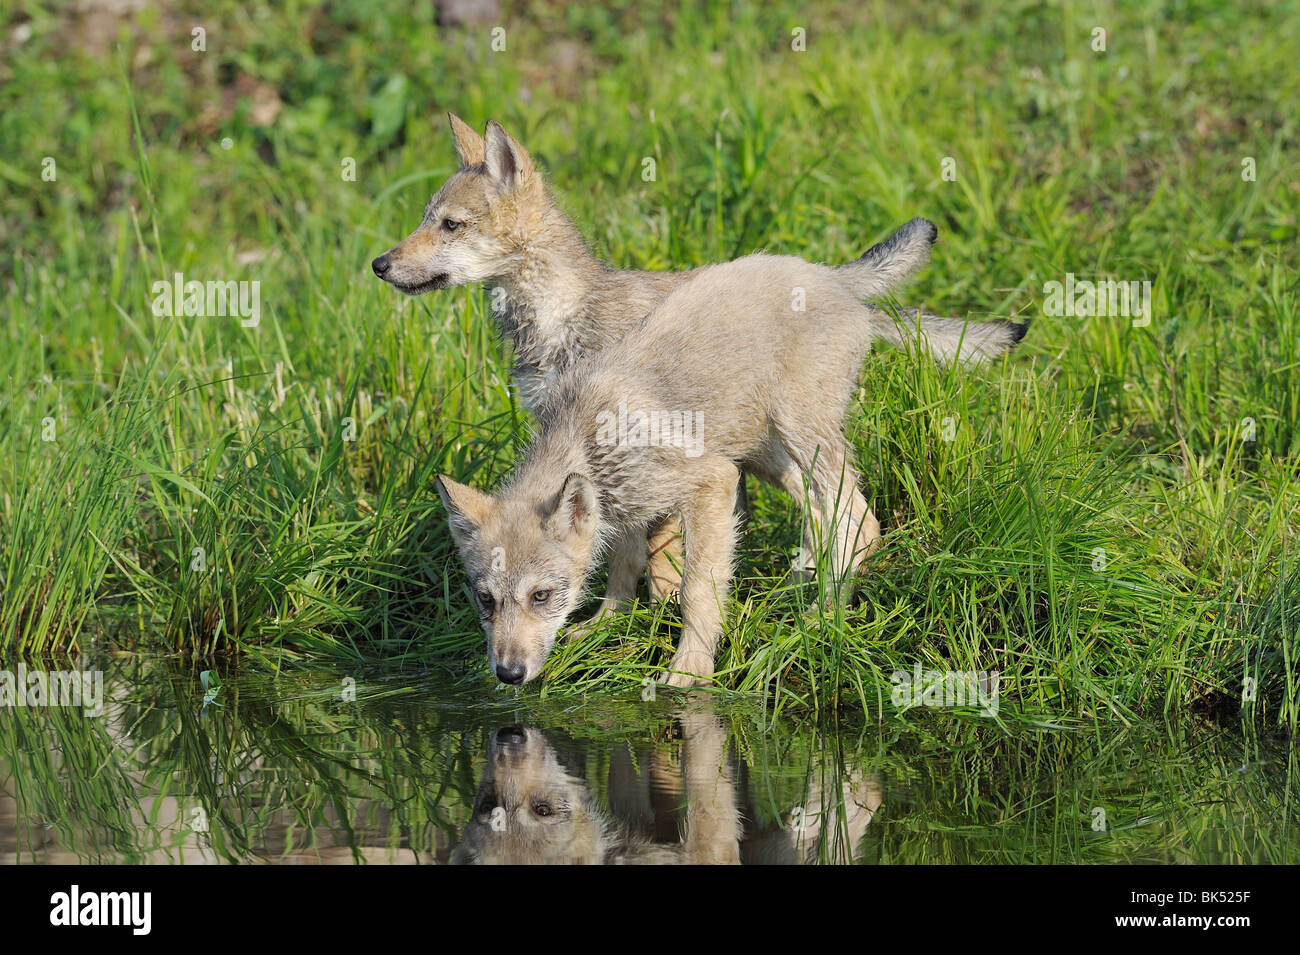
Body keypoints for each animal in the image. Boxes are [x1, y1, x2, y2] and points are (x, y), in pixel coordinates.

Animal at [436, 248, 1027, 687]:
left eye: (540, 596)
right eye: (485, 600)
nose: (508, 674)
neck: (587, 438)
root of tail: (833, 277)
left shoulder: (710, 482)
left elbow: (698, 592)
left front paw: (689, 672)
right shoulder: (628, 509)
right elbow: (625, 570)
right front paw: (605, 627)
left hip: (797, 434)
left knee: (859, 521)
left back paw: (822, 617)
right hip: (767, 454)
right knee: (826, 515)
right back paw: (803, 590)